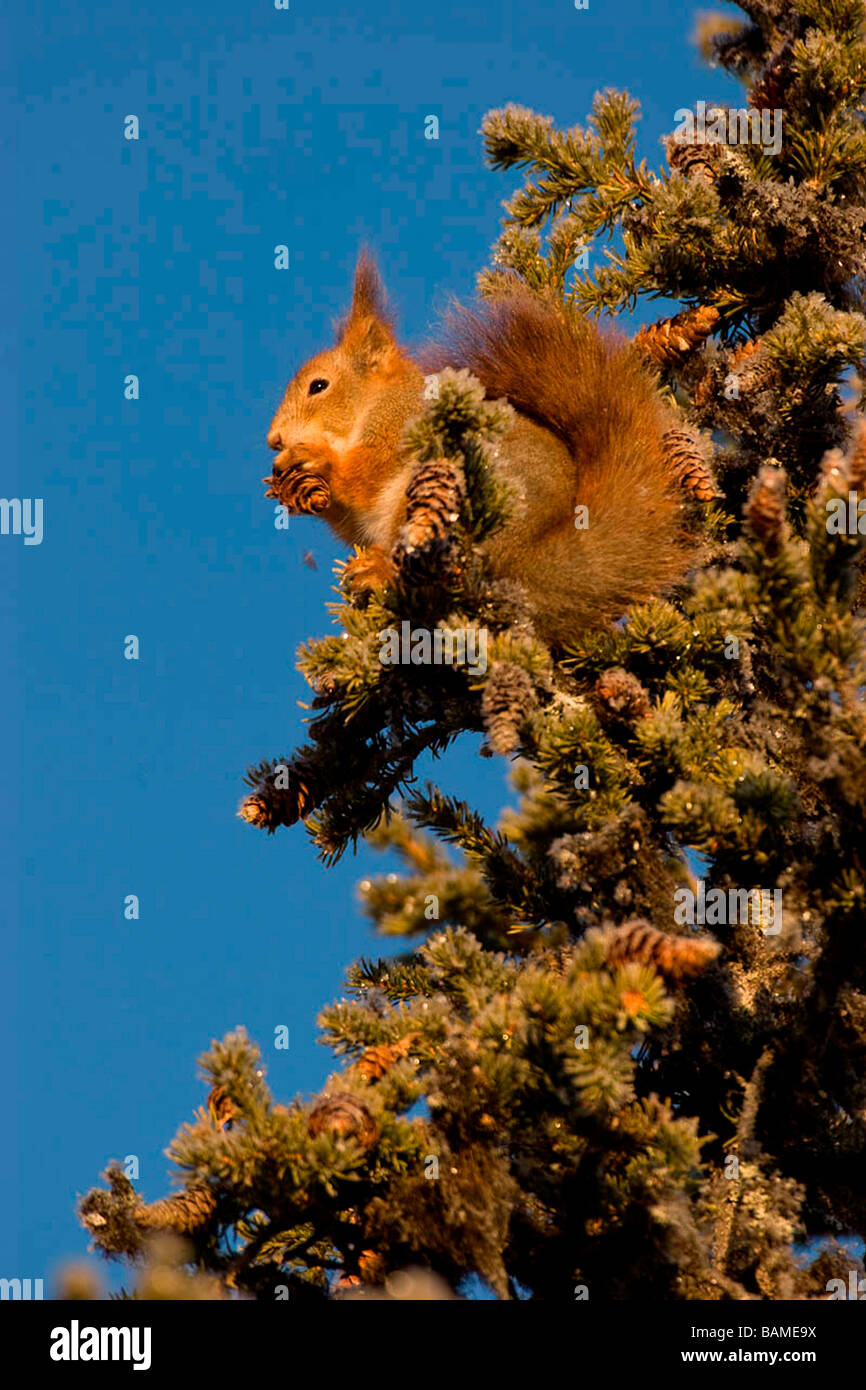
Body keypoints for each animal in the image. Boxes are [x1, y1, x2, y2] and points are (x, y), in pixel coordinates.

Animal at [265, 253, 692, 646]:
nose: (274, 440)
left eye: (318, 386)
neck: (374, 404)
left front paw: (311, 457)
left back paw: (379, 571)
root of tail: (529, 563)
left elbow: (364, 477)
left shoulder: (400, 431)